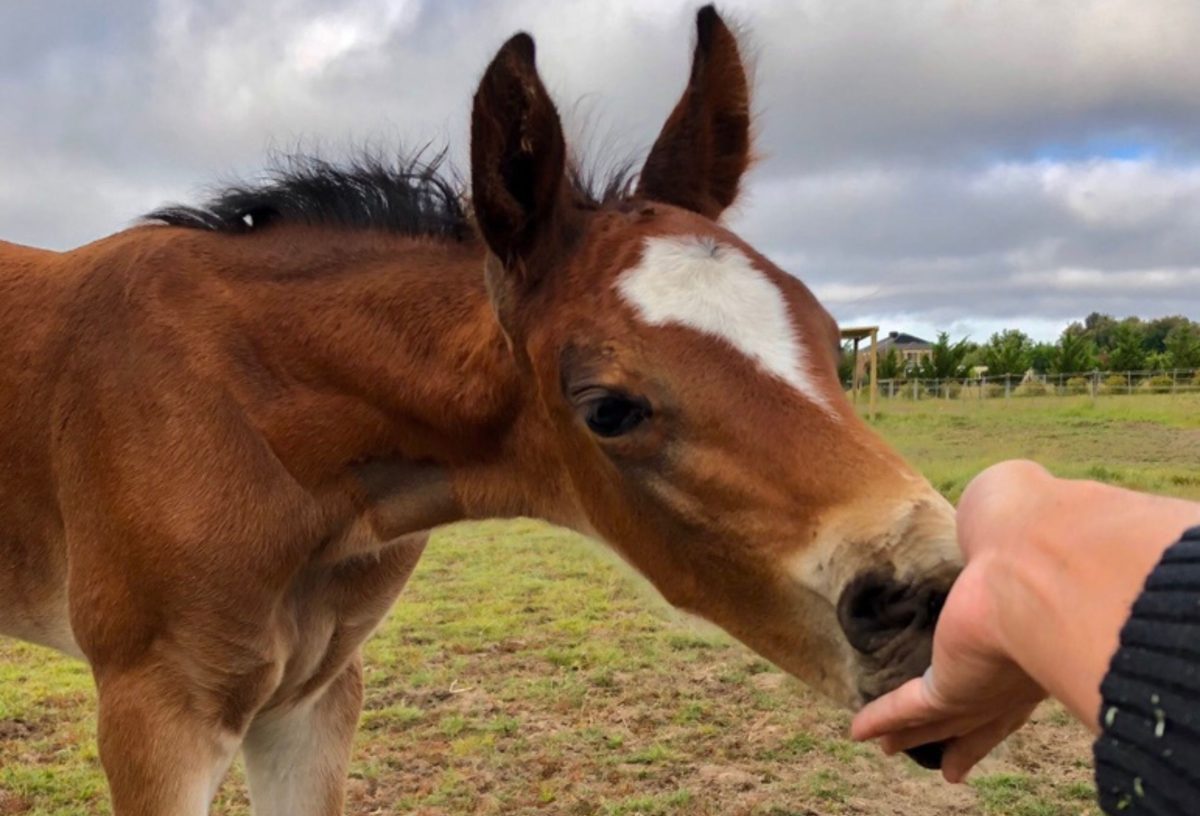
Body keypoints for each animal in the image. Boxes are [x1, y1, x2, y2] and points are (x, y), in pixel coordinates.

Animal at [0, 7, 959, 814]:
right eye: (608, 409)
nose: (937, 597)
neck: (258, 417)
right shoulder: (158, 713)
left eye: (830, 337)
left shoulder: (312, 701)